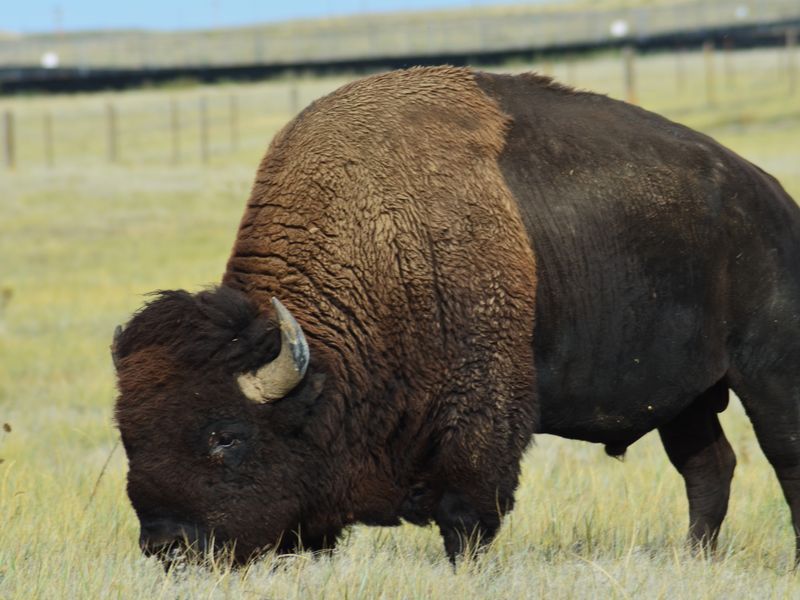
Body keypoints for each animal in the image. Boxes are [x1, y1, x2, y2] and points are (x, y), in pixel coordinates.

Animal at [112, 66, 800, 565]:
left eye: (225, 435)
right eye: (129, 436)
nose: (167, 545)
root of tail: (772, 198)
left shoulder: (479, 420)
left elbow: (466, 518)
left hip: (767, 376)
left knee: (782, 459)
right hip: (686, 398)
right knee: (708, 468)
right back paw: (696, 559)